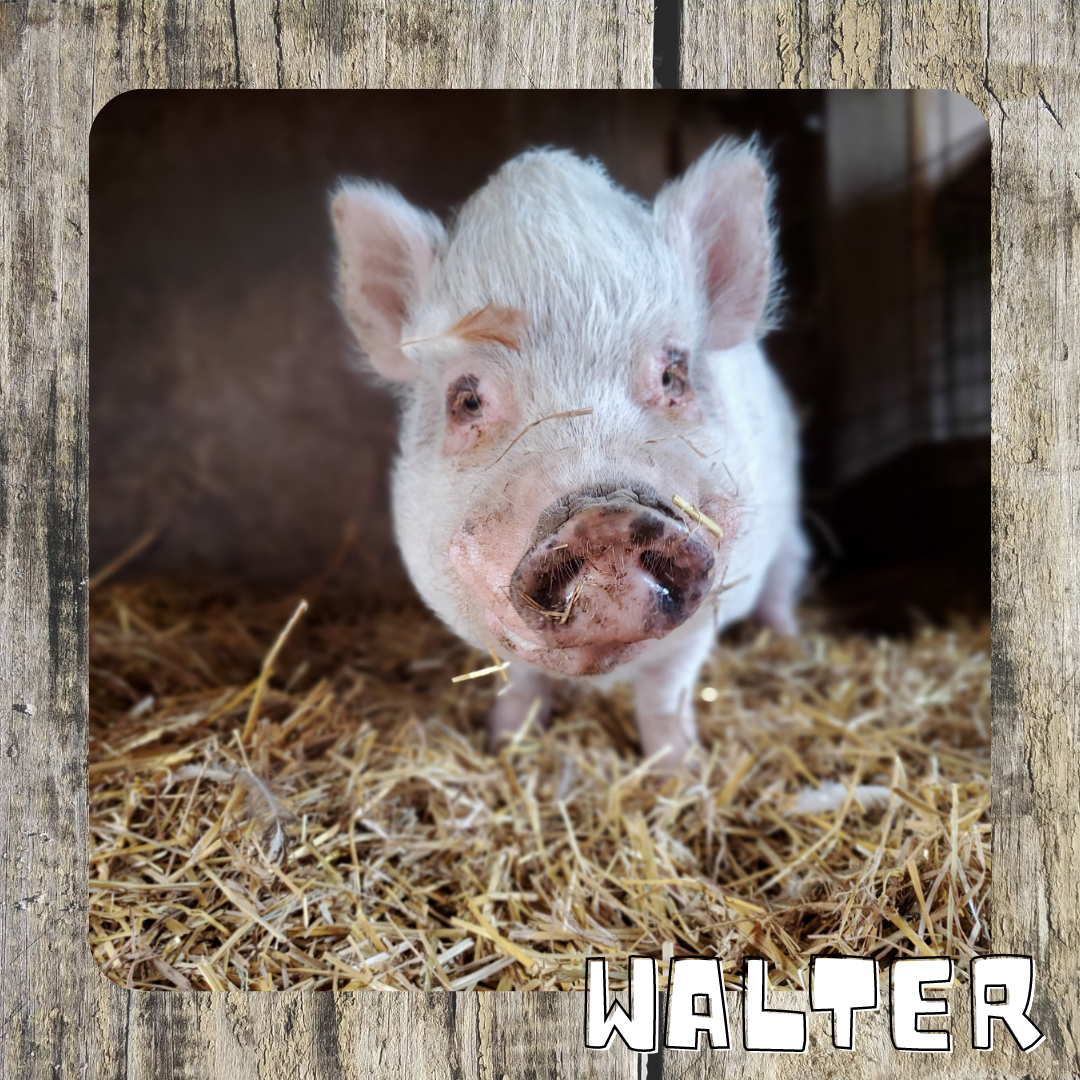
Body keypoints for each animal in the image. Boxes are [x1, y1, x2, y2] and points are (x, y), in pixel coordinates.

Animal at [330, 138, 807, 771]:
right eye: (468, 399)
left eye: (674, 373)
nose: (607, 516)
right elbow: (522, 685)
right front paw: (504, 748)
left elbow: (665, 692)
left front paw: (679, 773)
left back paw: (787, 640)